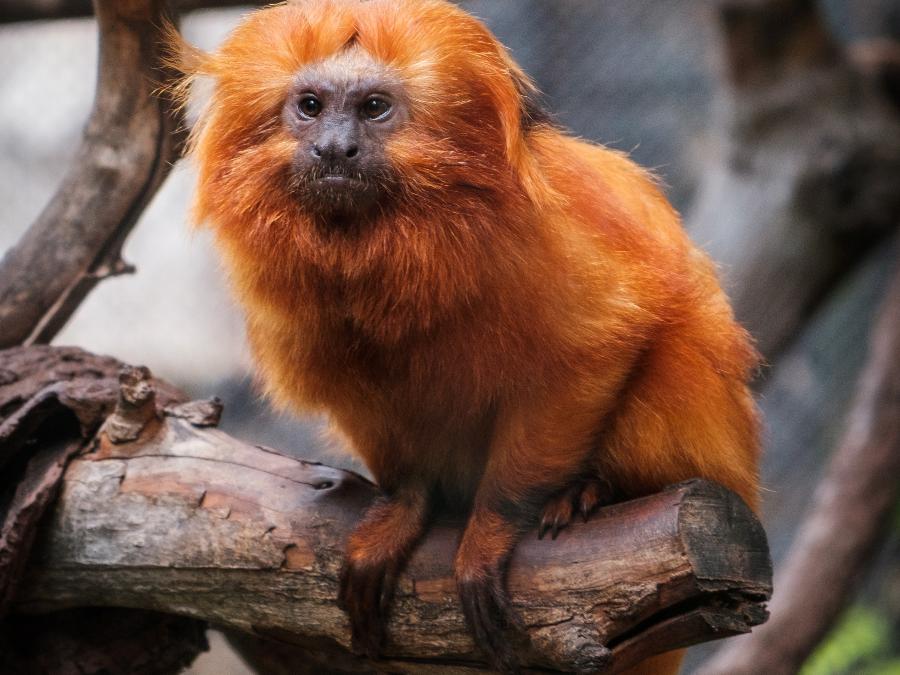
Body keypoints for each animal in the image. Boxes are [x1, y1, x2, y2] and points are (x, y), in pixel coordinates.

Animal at [174, 1, 761, 673]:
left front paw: (492, 531)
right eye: (312, 106)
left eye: (374, 108)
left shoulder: (548, 247)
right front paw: (404, 509)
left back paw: (593, 490)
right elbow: (375, 410)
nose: (335, 149)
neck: (394, 248)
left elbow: (594, 353)